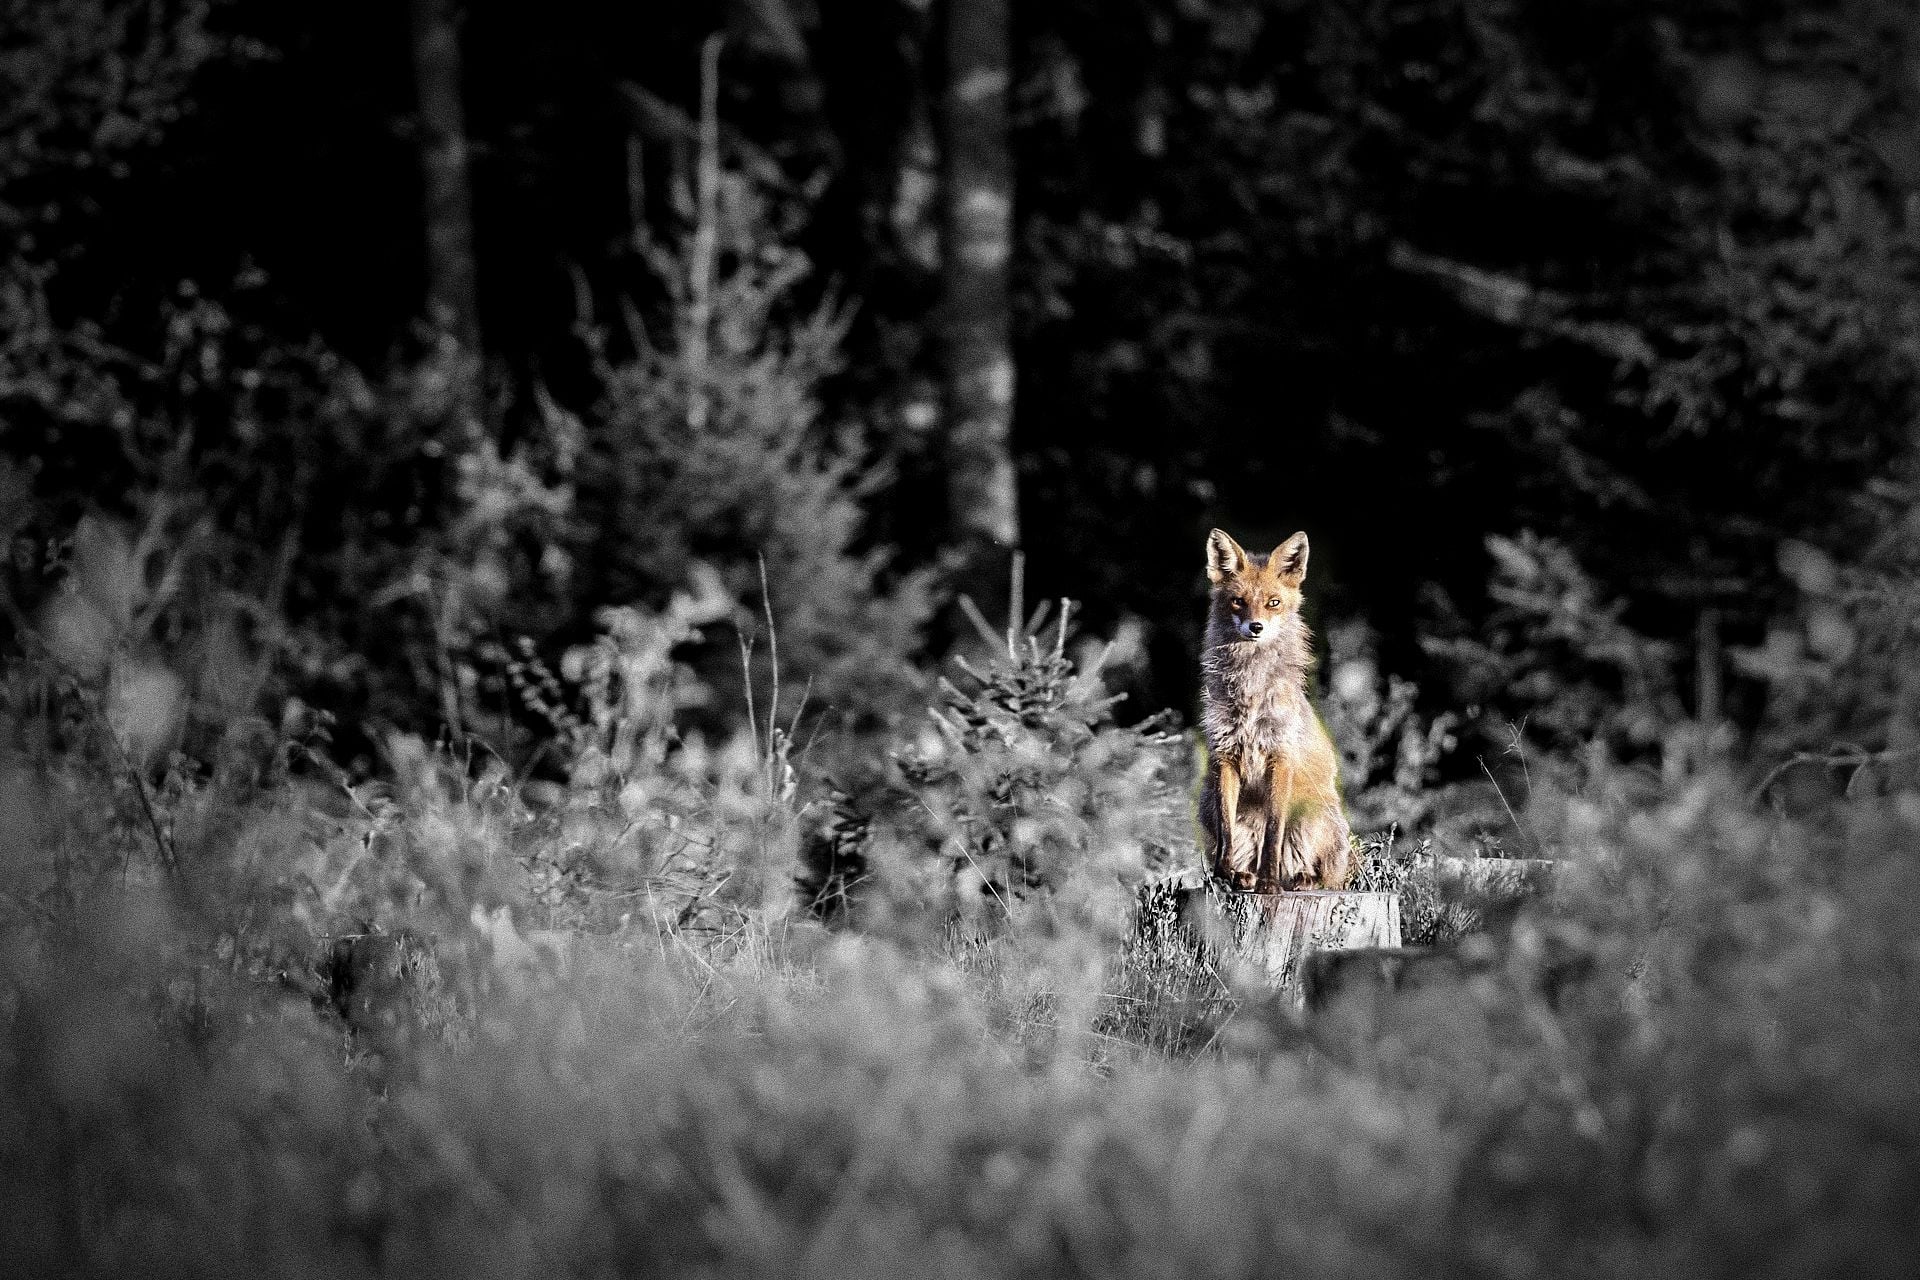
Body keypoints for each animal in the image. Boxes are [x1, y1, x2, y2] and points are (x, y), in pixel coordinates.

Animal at [1198, 528, 1353, 893]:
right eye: (1238, 601)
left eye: (1273, 603)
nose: (1255, 627)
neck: (1251, 693)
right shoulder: (1225, 757)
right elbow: (1226, 830)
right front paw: (1225, 874)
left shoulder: (1280, 757)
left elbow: (1273, 832)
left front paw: (1268, 884)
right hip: (1207, 801)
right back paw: (1240, 876)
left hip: (1313, 815)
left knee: (1323, 874)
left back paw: (1299, 879)